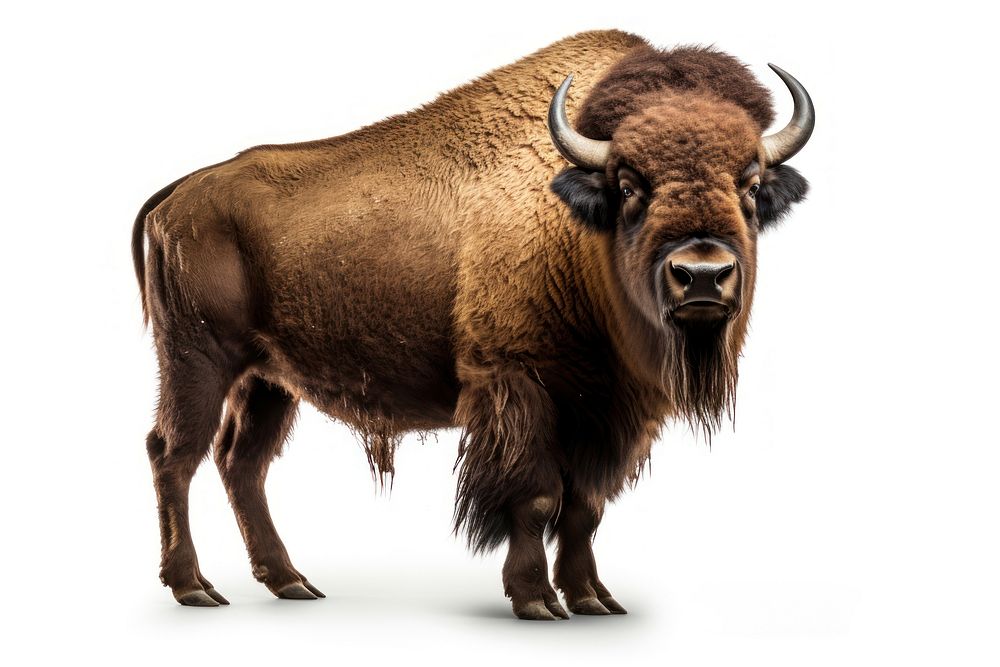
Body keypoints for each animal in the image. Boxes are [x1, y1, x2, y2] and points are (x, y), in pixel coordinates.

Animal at [133, 29, 813, 619]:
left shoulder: (609, 412)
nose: (702, 275)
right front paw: (536, 600)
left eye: (751, 185)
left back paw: (290, 582)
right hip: (197, 361)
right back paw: (195, 588)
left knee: (241, 461)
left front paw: (593, 598)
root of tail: (176, 195)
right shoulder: (518, 387)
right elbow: (537, 498)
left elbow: (585, 508)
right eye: (627, 185)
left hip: (267, 379)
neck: (571, 219)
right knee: (175, 452)